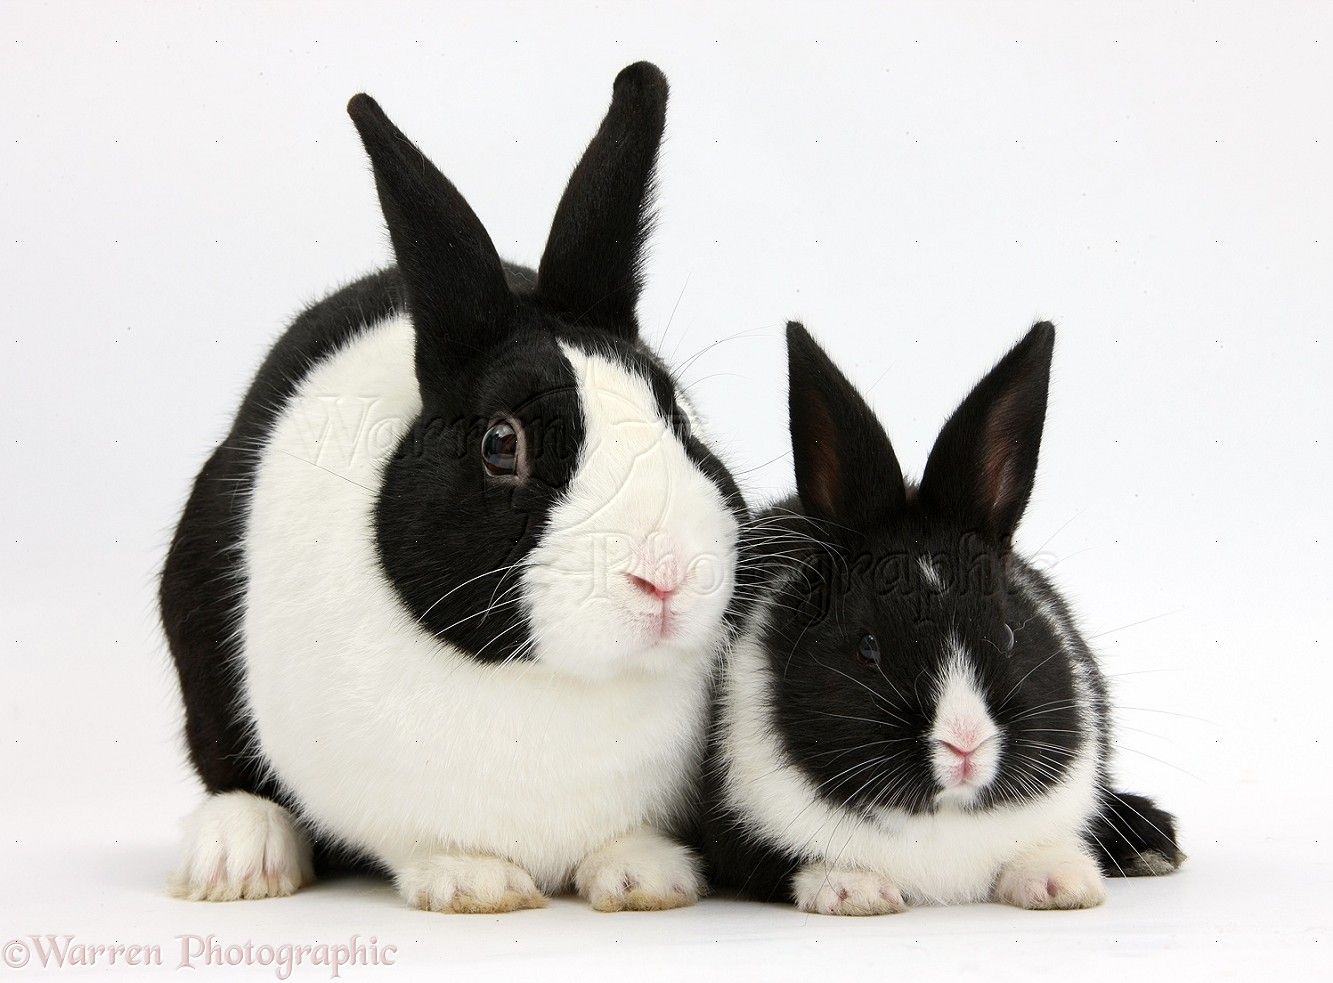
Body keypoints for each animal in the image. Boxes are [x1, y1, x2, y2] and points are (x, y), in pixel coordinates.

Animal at [160, 63, 752, 914]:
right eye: (501, 444)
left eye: (677, 413)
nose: (666, 574)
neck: (549, 683)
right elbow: (425, 844)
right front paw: (472, 881)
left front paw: (644, 876)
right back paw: (239, 857)